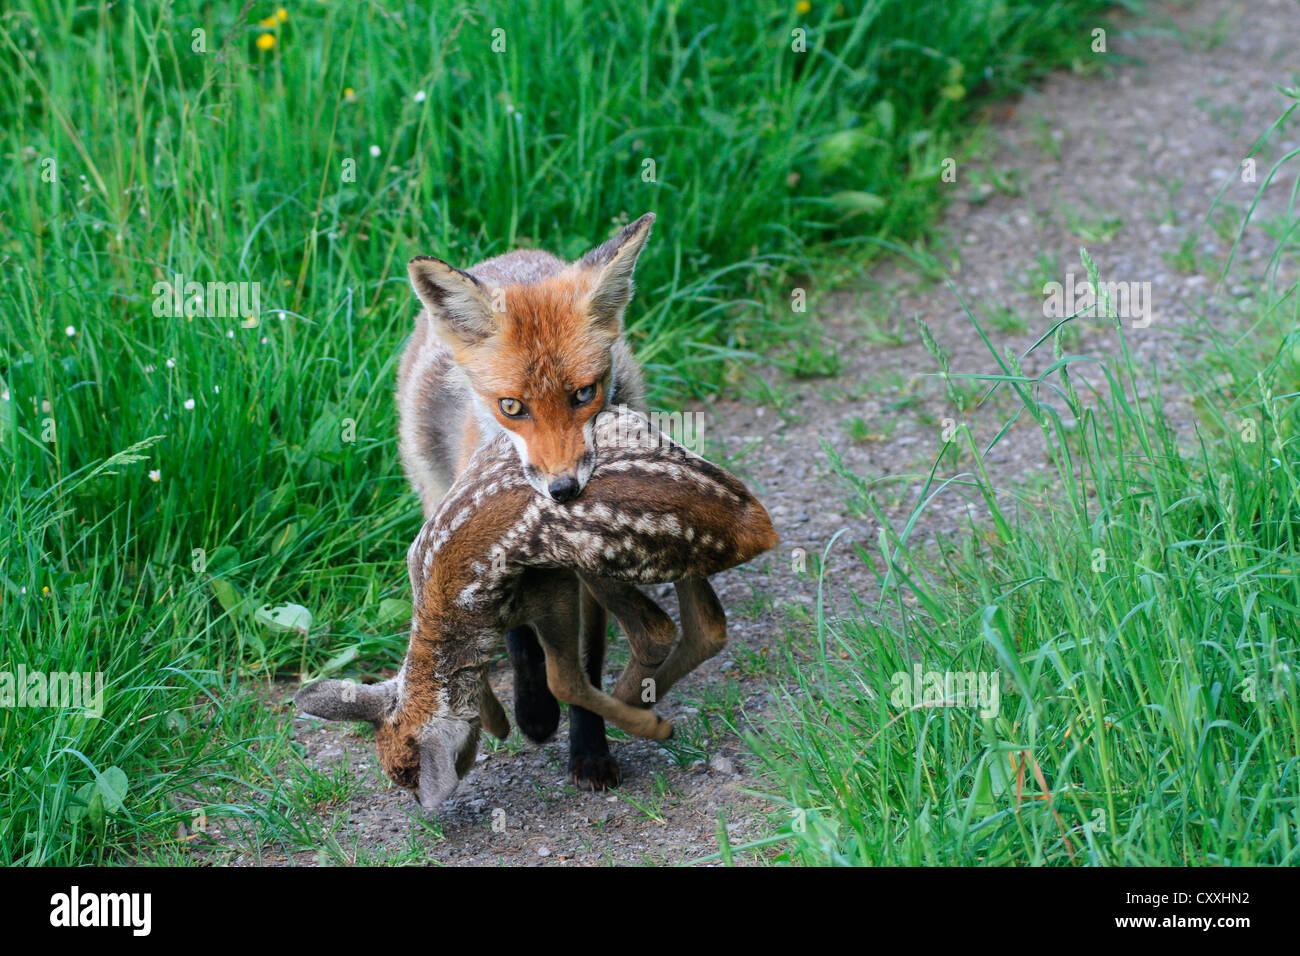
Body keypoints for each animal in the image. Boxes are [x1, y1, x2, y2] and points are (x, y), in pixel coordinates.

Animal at [397, 213, 656, 789]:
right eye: (512, 406)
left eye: (584, 394)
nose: (564, 489)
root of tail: (511, 257)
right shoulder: (487, 547)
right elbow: (520, 641)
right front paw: (535, 712)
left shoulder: (588, 570)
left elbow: (585, 664)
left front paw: (590, 750)